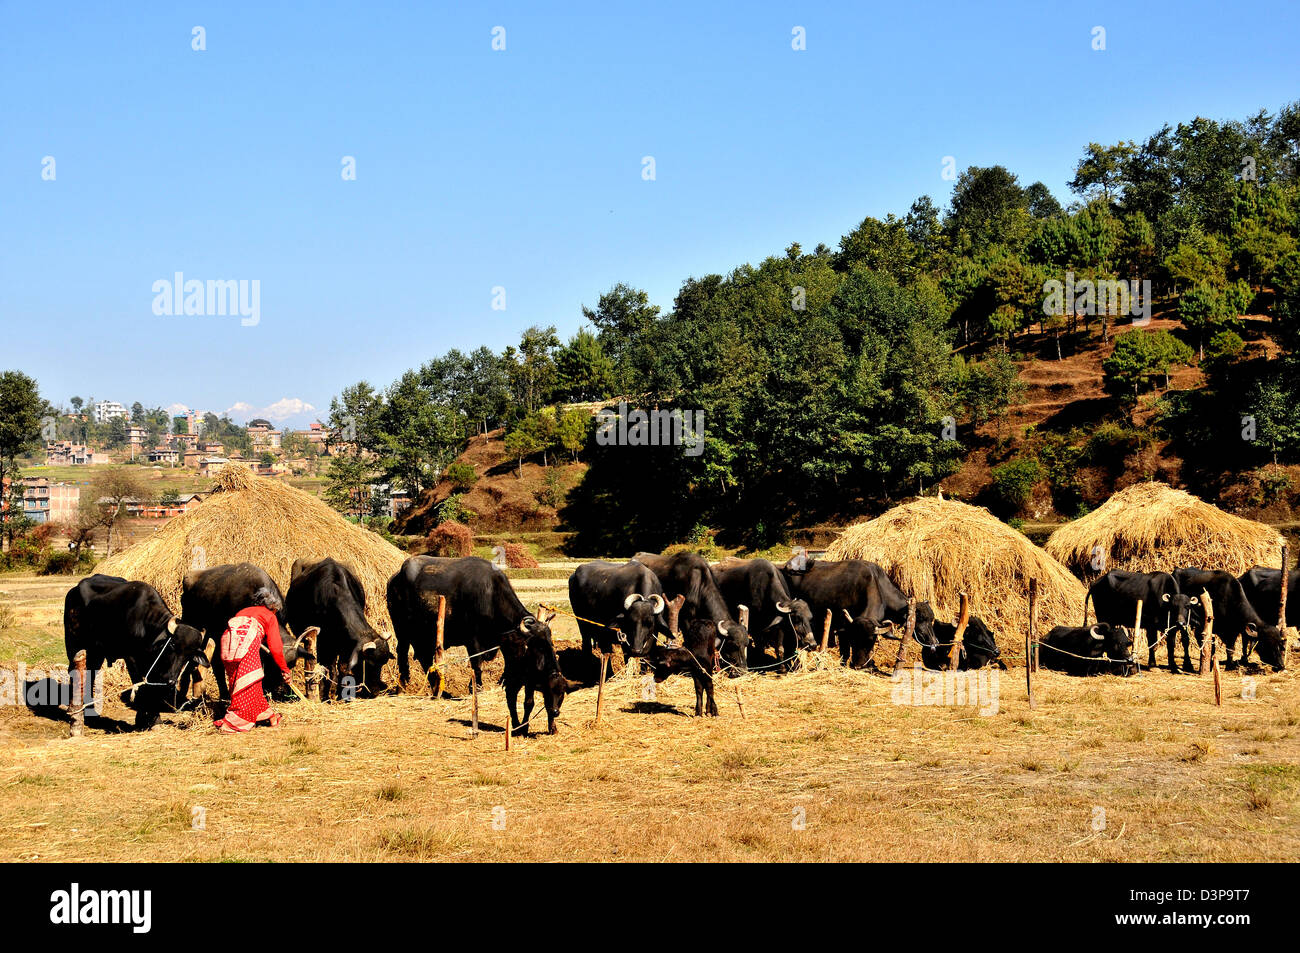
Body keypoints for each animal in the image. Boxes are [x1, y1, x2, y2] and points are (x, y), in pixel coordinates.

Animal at [64, 574, 210, 729]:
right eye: (172, 645)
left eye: (189, 655)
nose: (170, 680)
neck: (146, 627)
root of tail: (73, 591)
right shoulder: (131, 658)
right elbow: (139, 684)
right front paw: (145, 719)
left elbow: (149, 687)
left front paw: (153, 719)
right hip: (74, 645)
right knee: (73, 671)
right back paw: (73, 709)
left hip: (96, 652)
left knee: (91, 674)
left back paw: (91, 713)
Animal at [285, 557, 393, 700]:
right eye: (369, 664)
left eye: (383, 664)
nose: (375, 692)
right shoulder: (323, 644)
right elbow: (327, 668)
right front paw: (326, 695)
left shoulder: (345, 644)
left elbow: (343, 668)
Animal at [386, 555, 573, 735]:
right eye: (538, 645)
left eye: (550, 642)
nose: (554, 669)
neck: (490, 595)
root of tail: (395, 578)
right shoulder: (473, 640)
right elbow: (477, 665)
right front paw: (477, 688)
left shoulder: (502, 644)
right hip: (402, 630)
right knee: (403, 654)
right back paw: (402, 686)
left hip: (425, 636)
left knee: (425, 659)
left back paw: (438, 688)